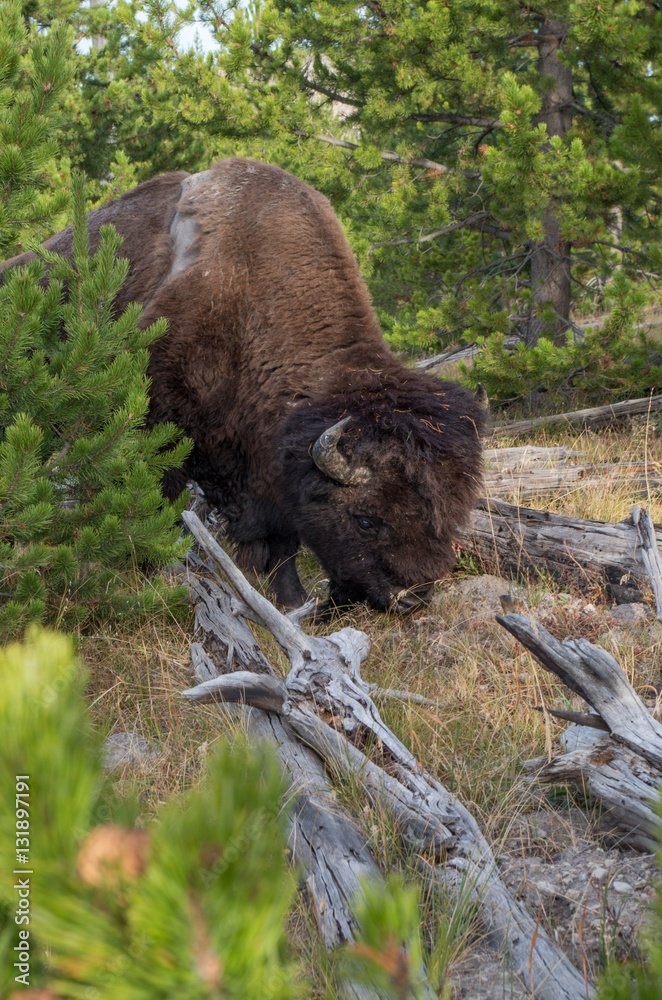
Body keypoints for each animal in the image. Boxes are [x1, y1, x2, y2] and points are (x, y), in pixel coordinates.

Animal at [2, 158, 486, 611]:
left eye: (451, 514)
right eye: (365, 519)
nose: (413, 598)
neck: (257, 304)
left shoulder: (265, 470)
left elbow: (281, 542)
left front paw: (290, 599)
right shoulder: (160, 426)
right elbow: (157, 504)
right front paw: (155, 576)